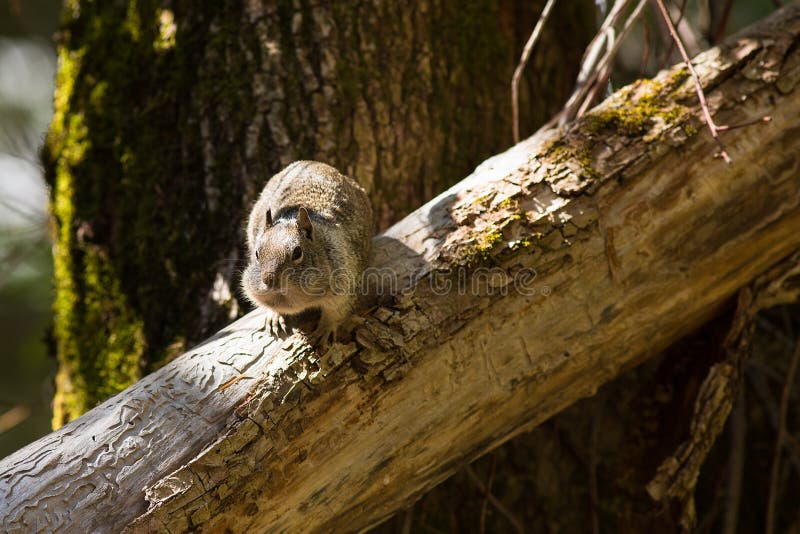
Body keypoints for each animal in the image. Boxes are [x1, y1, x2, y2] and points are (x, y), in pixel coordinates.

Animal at [242, 161, 373, 344]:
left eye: (297, 253)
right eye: (256, 254)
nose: (268, 280)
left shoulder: (343, 286)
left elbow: (335, 312)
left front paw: (324, 330)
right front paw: (274, 316)